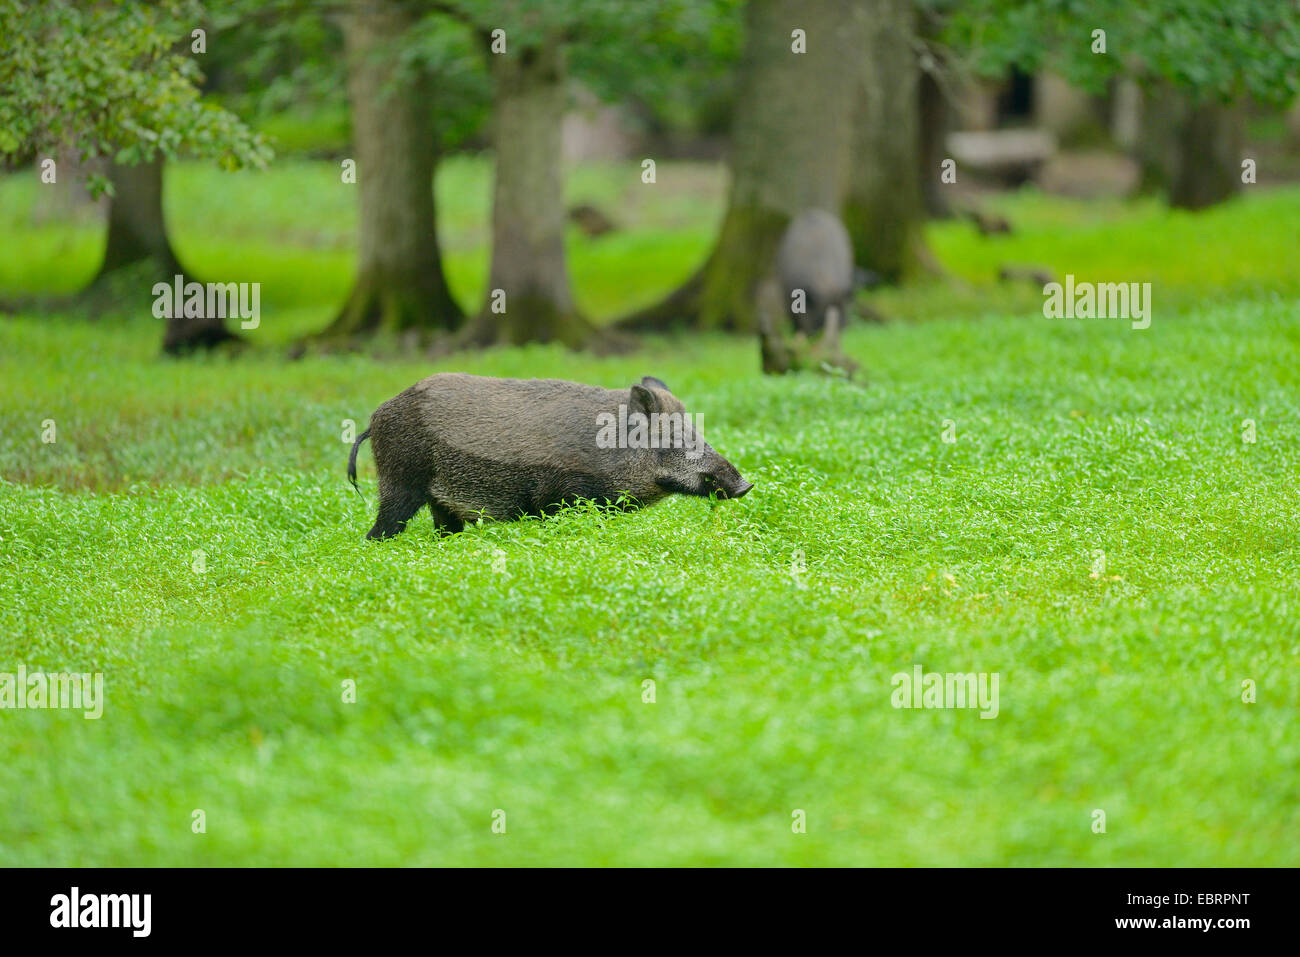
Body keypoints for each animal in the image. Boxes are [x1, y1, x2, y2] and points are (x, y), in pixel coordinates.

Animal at [348, 373, 752, 539]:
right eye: (675, 438)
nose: (745, 484)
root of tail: (376, 418)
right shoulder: (563, 495)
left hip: (441, 501)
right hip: (400, 479)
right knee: (382, 528)